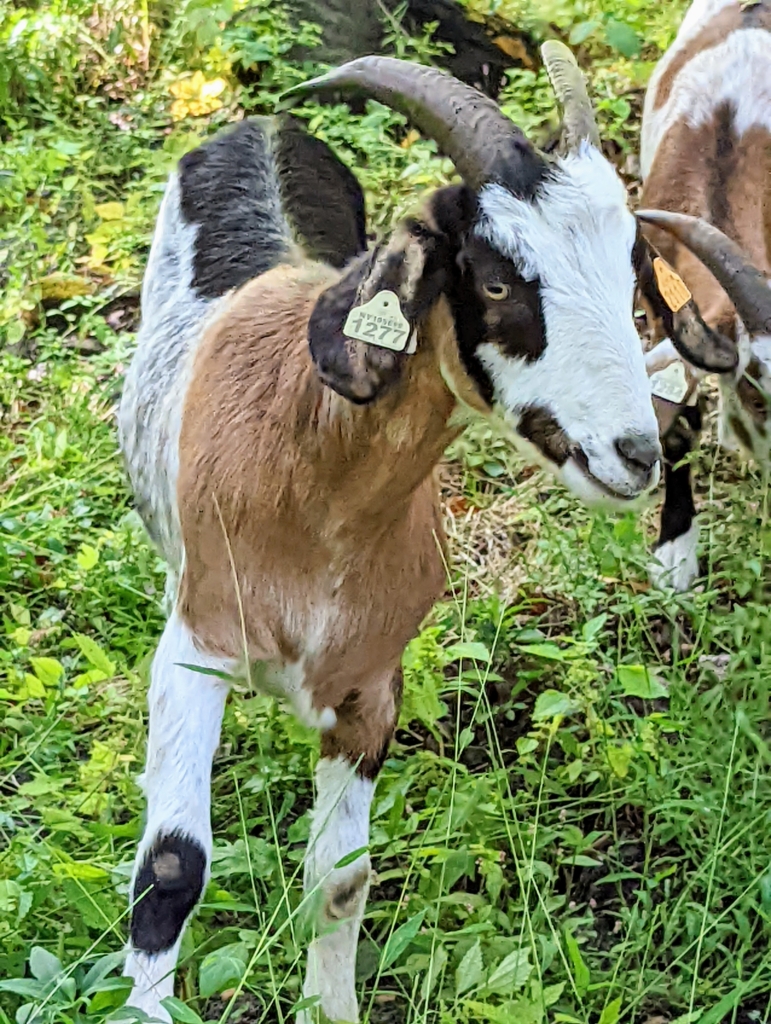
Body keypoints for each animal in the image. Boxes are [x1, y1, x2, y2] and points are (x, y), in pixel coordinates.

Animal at [117, 47, 721, 1023]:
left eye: (632, 273)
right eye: (497, 279)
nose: (634, 454)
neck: (310, 479)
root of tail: (265, 123)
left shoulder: (371, 690)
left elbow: (339, 881)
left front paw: (329, 1007)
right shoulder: (195, 647)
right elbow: (171, 872)